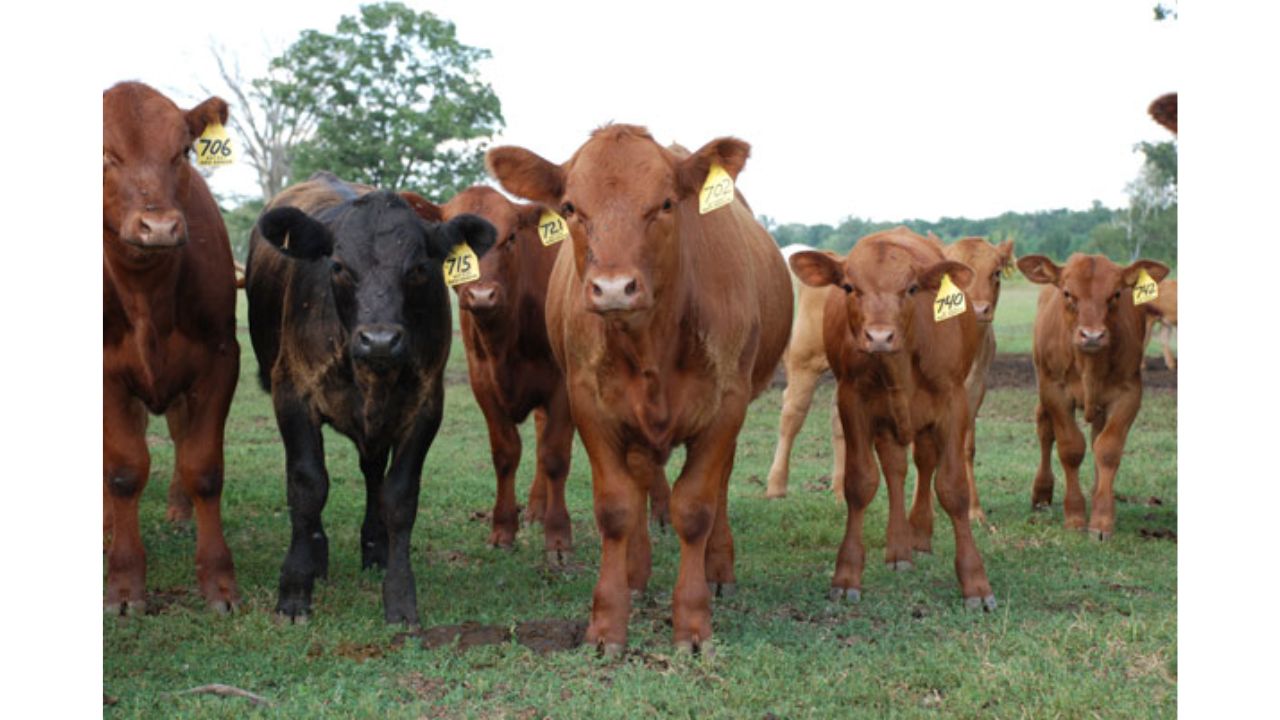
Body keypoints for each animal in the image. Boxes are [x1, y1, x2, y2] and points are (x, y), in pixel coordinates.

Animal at [103, 81, 240, 614]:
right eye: (104, 152)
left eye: (182, 151)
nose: (159, 226)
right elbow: (123, 470)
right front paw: (124, 584)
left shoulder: (219, 362)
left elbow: (203, 467)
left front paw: (219, 583)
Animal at [245, 172, 495, 624]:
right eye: (339, 266)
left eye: (418, 268)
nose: (379, 340)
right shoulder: (292, 394)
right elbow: (308, 485)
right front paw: (295, 588)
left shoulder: (425, 406)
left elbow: (400, 497)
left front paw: (399, 595)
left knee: (373, 471)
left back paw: (375, 547)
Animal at [486, 124, 792, 653]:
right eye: (571, 207)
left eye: (666, 203)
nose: (613, 288)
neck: (653, 340)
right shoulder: (589, 405)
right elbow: (616, 508)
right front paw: (608, 622)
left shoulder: (726, 407)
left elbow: (696, 507)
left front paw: (693, 622)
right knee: (643, 477)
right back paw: (636, 572)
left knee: (718, 489)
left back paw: (718, 568)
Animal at [790, 227, 995, 610]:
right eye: (849, 287)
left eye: (912, 288)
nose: (880, 336)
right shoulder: (852, 401)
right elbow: (860, 483)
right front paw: (846, 574)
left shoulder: (954, 402)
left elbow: (953, 488)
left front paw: (975, 582)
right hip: (887, 421)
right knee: (896, 470)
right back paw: (899, 549)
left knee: (921, 464)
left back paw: (918, 538)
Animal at [1018, 253, 1169, 539]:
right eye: (1068, 293)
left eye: (1116, 294)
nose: (1092, 335)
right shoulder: (1054, 391)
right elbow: (1070, 448)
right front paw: (1075, 515)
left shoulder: (1129, 393)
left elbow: (1108, 449)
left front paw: (1102, 518)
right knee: (1045, 431)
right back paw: (1042, 493)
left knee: (1097, 437)